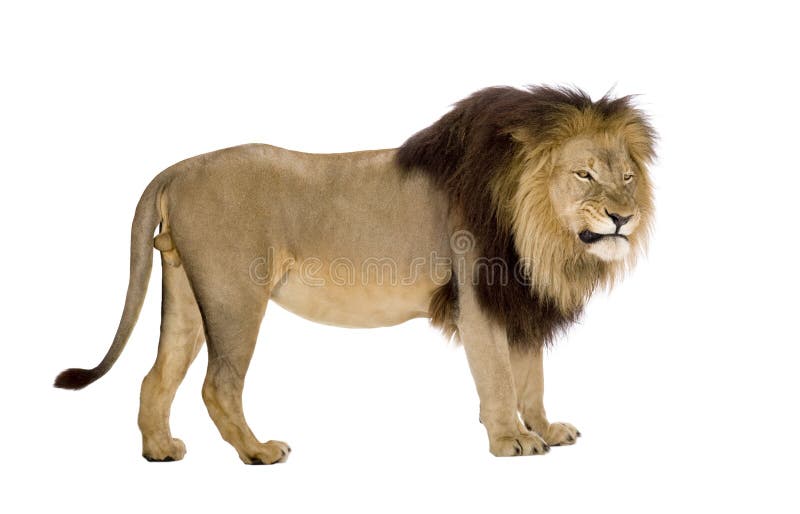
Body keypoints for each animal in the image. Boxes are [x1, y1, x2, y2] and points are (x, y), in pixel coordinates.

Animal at [54, 85, 656, 464]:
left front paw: (546, 430)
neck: (541, 232)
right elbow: (500, 378)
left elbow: (532, 377)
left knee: (156, 377)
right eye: (584, 175)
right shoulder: (478, 296)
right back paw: (257, 452)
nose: (623, 217)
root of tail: (176, 168)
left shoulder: (516, 298)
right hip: (235, 297)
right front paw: (512, 440)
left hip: (184, 291)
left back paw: (159, 450)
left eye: (627, 176)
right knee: (217, 385)